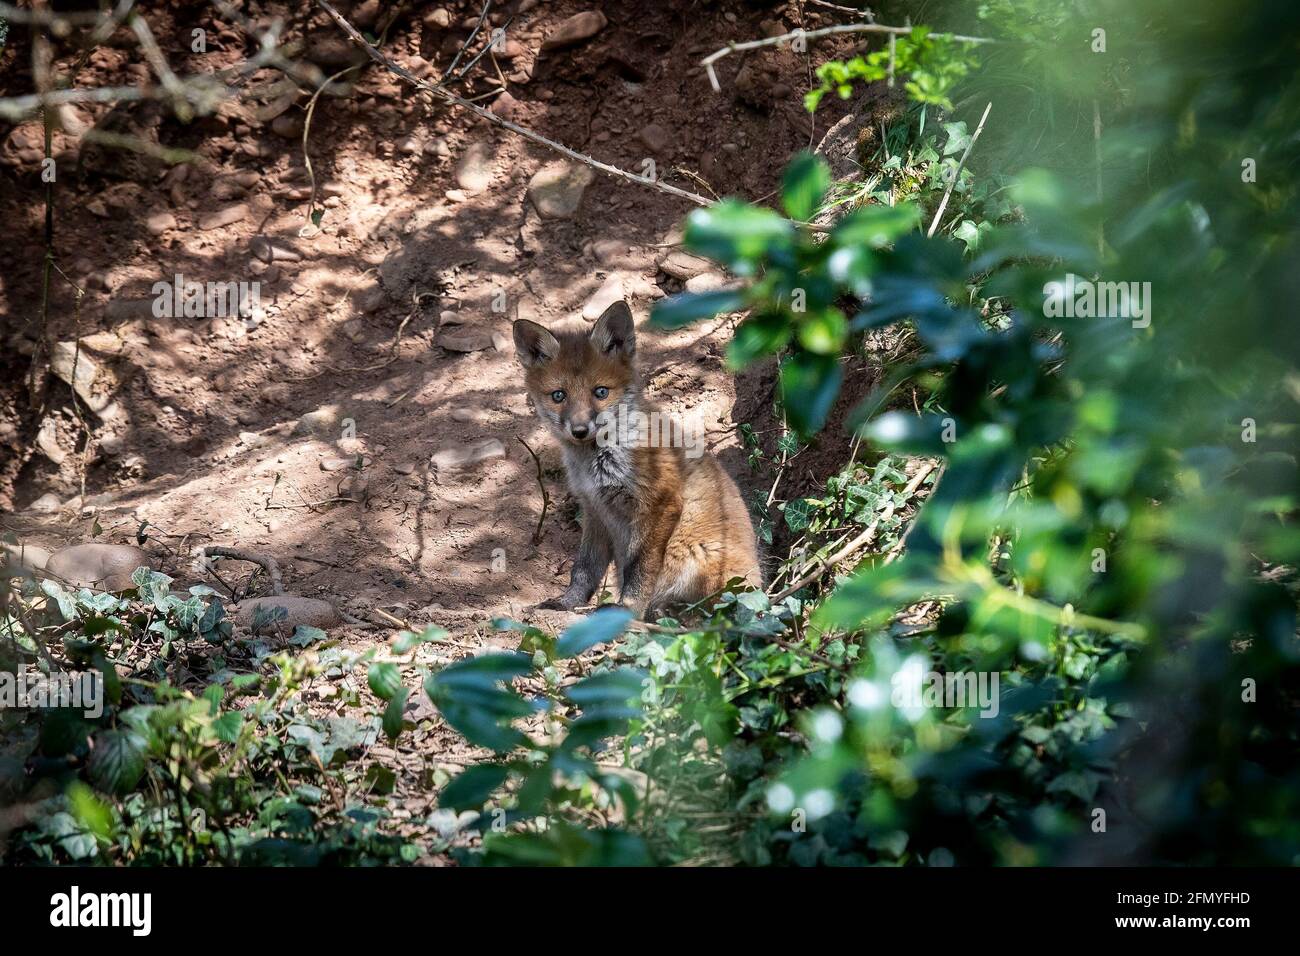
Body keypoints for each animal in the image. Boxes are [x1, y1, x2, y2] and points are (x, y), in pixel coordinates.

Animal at [513, 300, 760, 618]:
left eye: (601, 392)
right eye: (558, 395)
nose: (580, 431)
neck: (597, 465)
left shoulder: (659, 503)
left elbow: (639, 568)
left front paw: (627, 609)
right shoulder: (594, 511)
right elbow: (583, 570)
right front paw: (568, 603)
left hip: (696, 554)